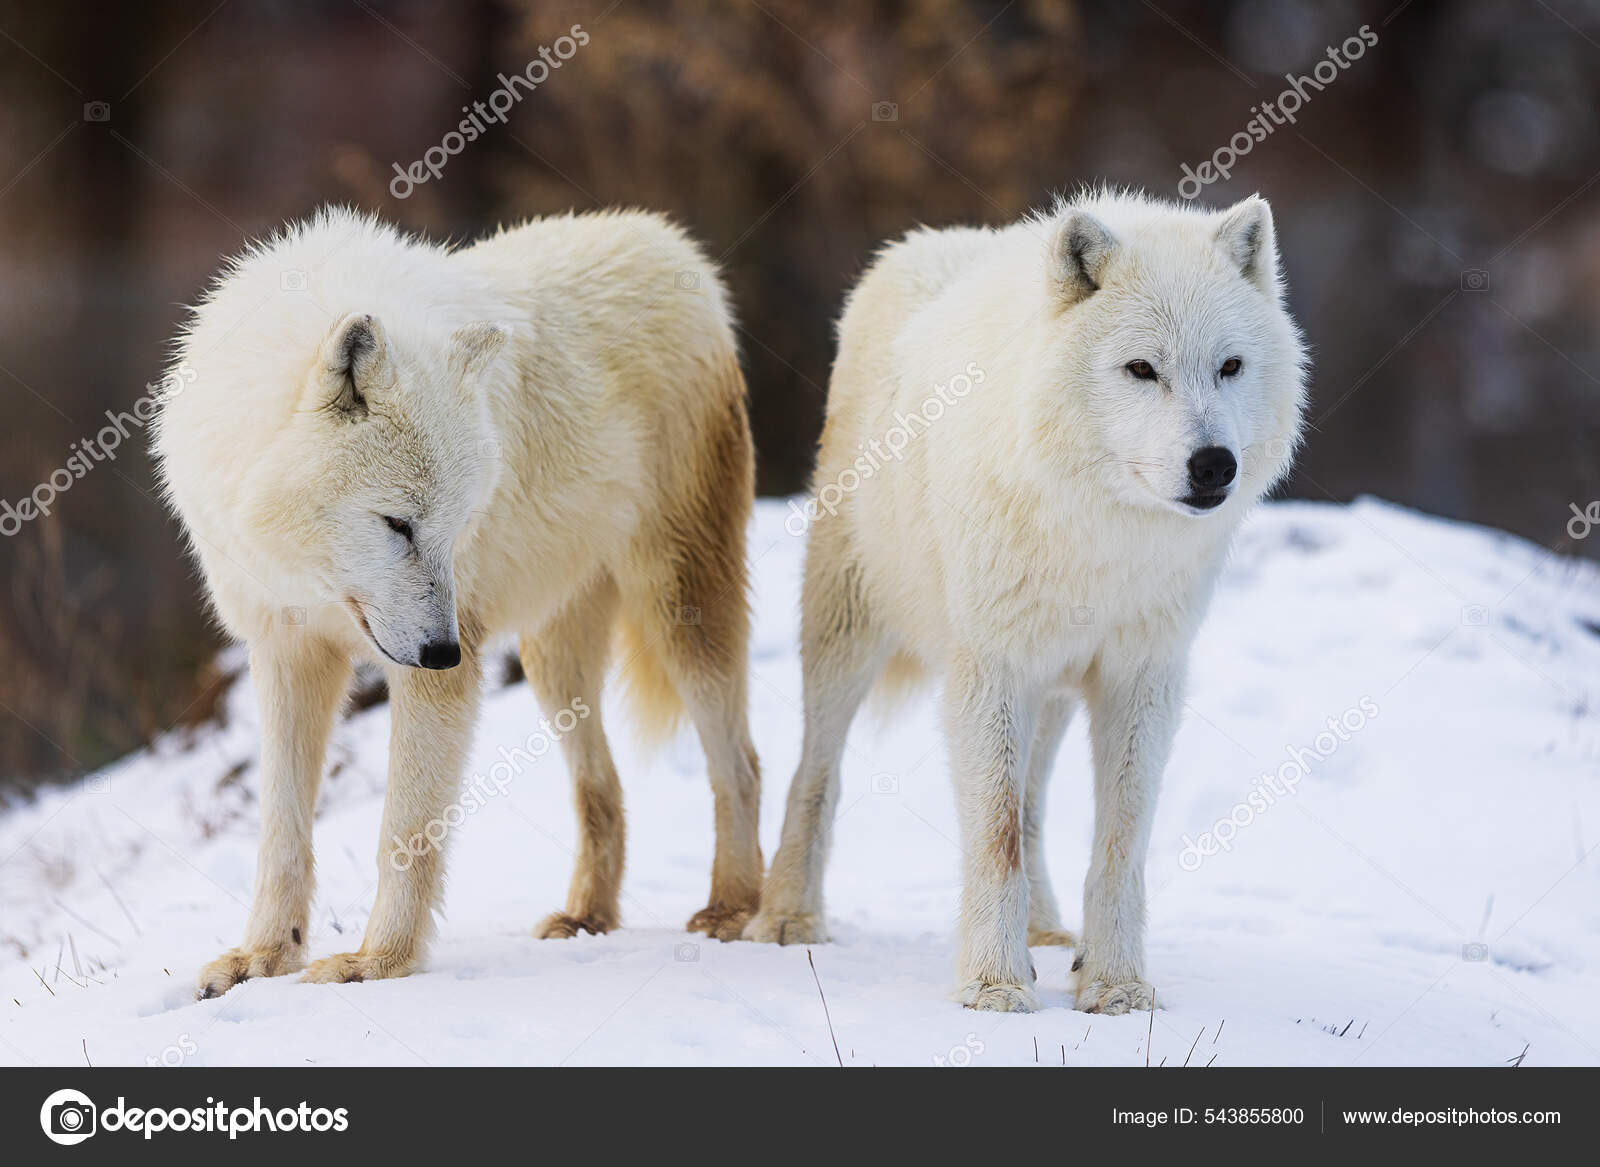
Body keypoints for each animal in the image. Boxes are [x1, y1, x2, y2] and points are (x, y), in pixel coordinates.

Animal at [155, 207, 762, 997]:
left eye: (456, 526)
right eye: (399, 524)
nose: (443, 651)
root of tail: (666, 240)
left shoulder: (437, 670)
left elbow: (404, 830)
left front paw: (377, 963)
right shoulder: (286, 651)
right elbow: (281, 831)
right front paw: (262, 956)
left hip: (677, 605)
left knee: (742, 765)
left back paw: (733, 907)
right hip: (552, 659)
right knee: (601, 791)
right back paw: (585, 917)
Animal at [744, 191, 1307, 1014]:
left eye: (1229, 366)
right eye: (1142, 369)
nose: (1214, 465)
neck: (1101, 538)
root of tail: (924, 242)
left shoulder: (1141, 676)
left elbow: (1117, 843)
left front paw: (1116, 986)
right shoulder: (990, 671)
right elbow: (995, 836)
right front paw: (995, 985)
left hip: (1055, 691)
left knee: (1036, 804)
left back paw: (1046, 931)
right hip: (847, 631)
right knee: (817, 771)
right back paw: (788, 915)